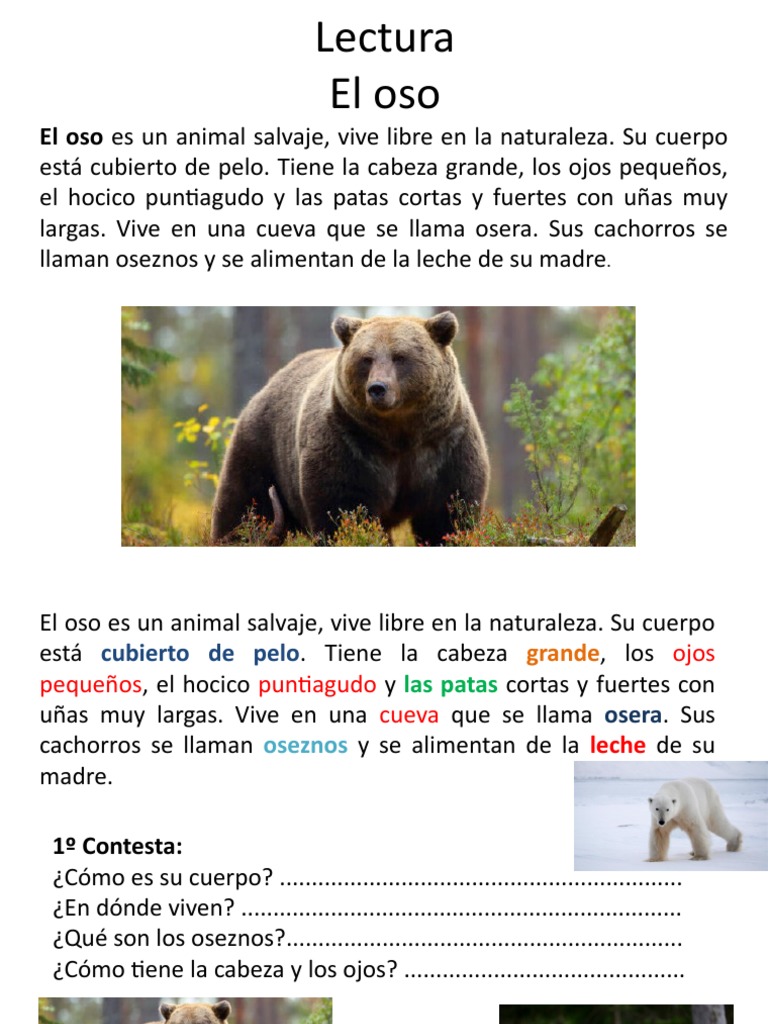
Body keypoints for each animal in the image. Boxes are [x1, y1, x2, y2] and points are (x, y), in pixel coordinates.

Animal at [211, 311, 490, 545]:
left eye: (400, 357)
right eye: (367, 358)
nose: (377, 388)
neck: (400, 434)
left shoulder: (445, 445)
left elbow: (447, 514)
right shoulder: (350, 443)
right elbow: (344, 508)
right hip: (262, 448)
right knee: (243, 505)